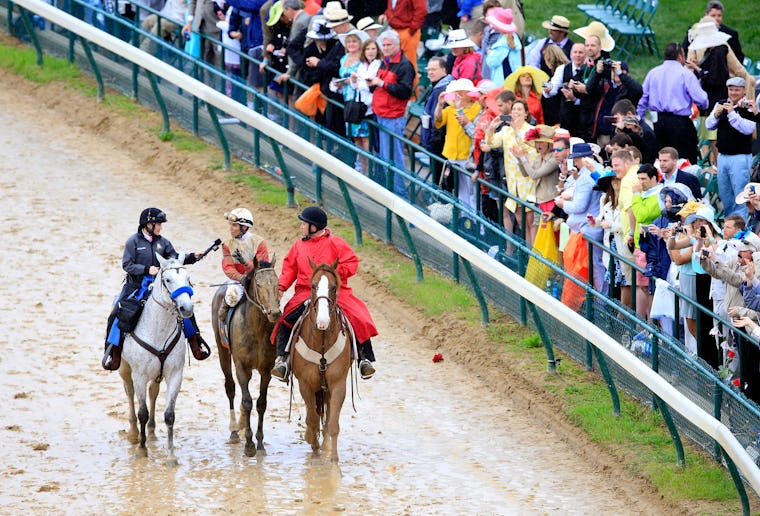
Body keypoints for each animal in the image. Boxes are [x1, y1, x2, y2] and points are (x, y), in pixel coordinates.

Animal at [118, 253, 195, 466]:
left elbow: (169, 415)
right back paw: (134, 433)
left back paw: (151, 433)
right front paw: (141, 450)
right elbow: (142, 412)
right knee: (129, 393)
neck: (158, 329)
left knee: (153, 392)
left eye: (188, 278)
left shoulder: (175, 375)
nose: (187, 308)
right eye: (167, 280)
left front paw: (171, 455)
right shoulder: (139, 376)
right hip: (125, 369)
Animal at [211, 256, 281, 457]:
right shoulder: (241, 366)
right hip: (223, 352)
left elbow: (261, 403)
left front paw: (260, 443)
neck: (256, 329)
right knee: (231, 388)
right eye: (258, 284)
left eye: (277, 283)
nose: (274, 313)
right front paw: (249, 445)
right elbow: (247, 401)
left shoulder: (266, 370)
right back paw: (235, 431)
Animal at [292, 259, 352, 463]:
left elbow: (333, 423)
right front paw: (315, 447)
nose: (323, 320)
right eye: (313, 285)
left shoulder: (338, 384)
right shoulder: (306, 384)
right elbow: (311, 418)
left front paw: (333, 458)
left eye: (333, 287)